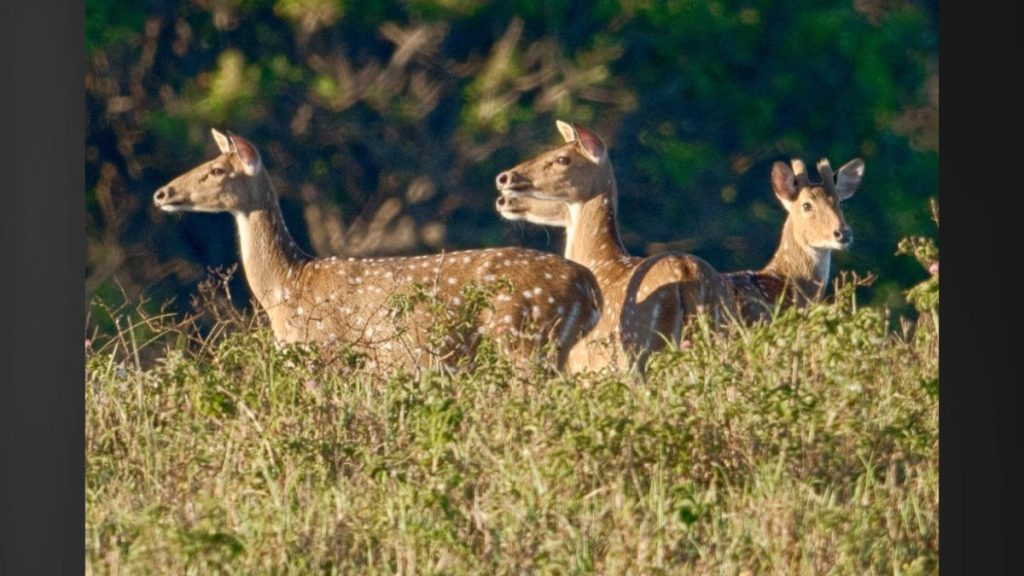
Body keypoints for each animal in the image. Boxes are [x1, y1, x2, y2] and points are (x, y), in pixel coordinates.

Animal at [153, 129, 602, 372]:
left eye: (216, 169)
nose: (162, 193)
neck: (286, 288)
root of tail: (588, 289)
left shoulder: (326, 351)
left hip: (522, 341)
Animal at [494, 121, 736, 373]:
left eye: (562, 159)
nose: (503, 180)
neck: (601, 262)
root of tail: (686, 270)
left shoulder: (585, 366)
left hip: (639, 349)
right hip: (722, 329)